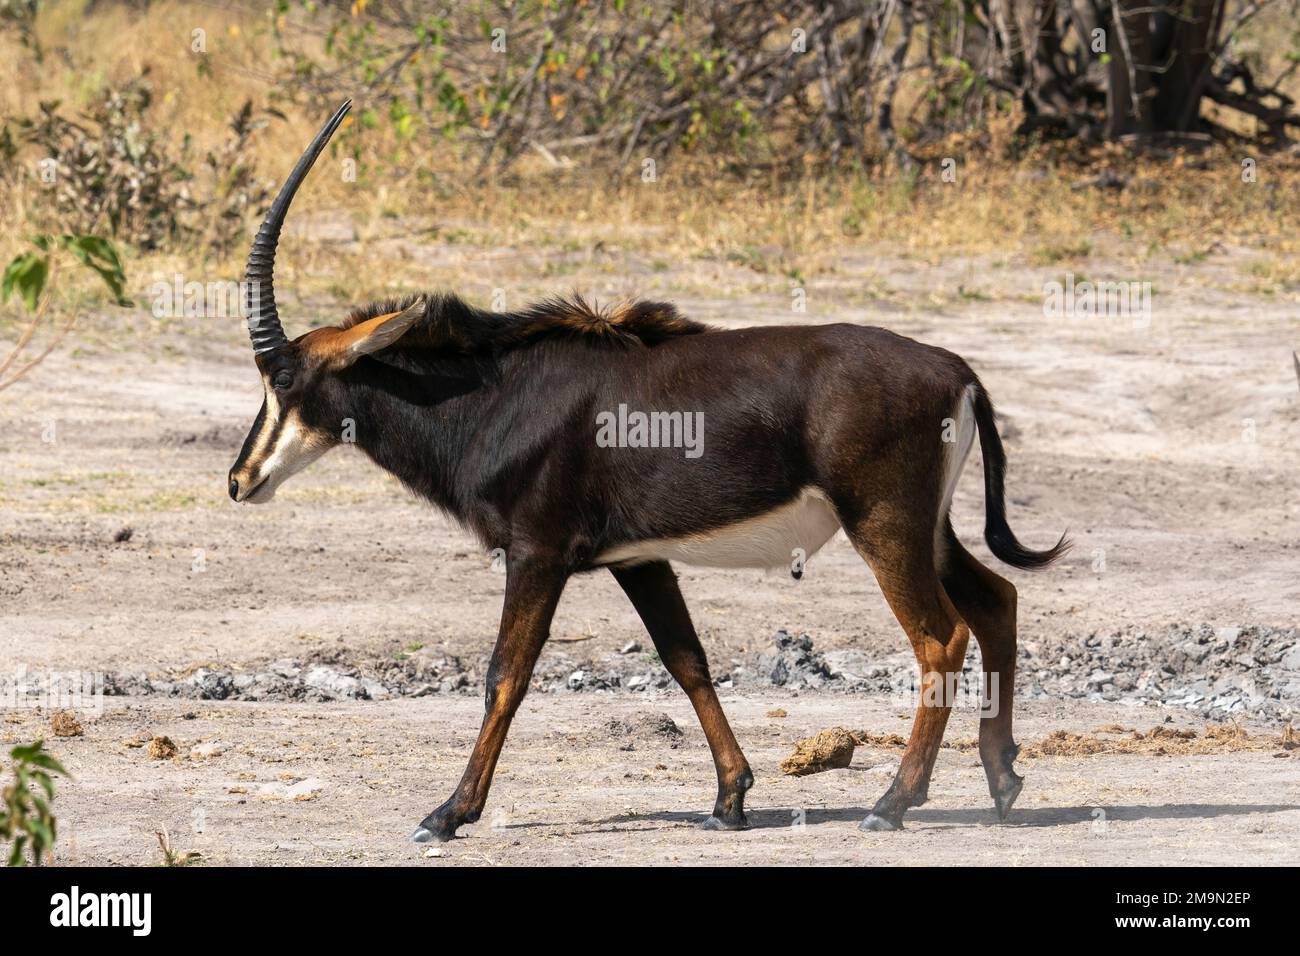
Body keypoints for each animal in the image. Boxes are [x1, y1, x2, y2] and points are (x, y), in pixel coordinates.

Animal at [228, 102, 1068, 842]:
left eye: (284, 378)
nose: (239, 481)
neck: (492, 394)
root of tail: (956, 369)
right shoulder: (639, 559)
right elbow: (686, 660)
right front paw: (729, 799)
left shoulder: (537, 554)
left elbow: (507, 673)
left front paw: (448, 813)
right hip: (928, 528)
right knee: (996, 601)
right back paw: (1002, 782)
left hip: (883, 523)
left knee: (941, 637)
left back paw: (893, 803)